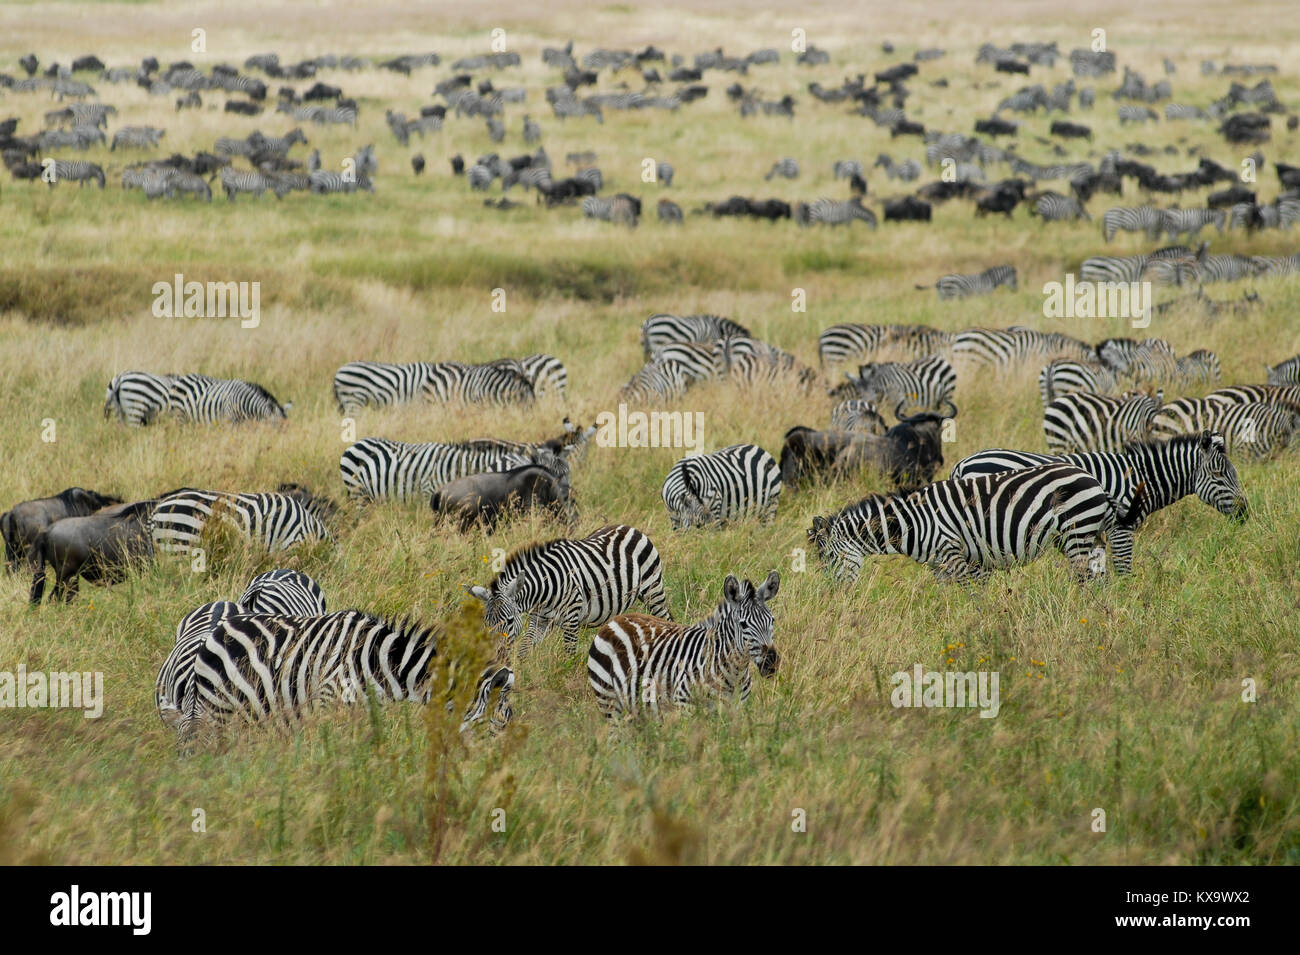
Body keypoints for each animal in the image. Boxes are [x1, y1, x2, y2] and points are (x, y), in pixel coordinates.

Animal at [175, 611, 514, 747]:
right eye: (500, 721)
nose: (502, 765)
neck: (380, 662)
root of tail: (215, 631)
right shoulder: (330, 701)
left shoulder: (363, 713)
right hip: (219, 708)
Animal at [465, 524, 671, 654]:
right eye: (487, 623)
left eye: (508, 621)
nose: (496, 655)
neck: (543, 591)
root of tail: (629, 528)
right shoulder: (539, 620)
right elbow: (525, 647)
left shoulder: (572, 619)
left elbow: (569, 654)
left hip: (653, 590)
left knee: (666, 617)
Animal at [587, 572, 780, 718]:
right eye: (743, 625)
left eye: (772, 620)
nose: (771, 663)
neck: (733, 673)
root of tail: (614, 620)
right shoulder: (685, 706)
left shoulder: (737, 709)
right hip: (608, 699)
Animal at [807, 463, 1121, 583]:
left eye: (829, 558)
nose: (833, 596)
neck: (913, 524)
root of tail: (1093, 479)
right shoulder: (941, 568)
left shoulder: (958, 560)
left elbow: (976, 600)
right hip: (1085, 537)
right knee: (1097, 578)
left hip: (1077, 533)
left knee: (1084, 579)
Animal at [950, 431, 1247, 573]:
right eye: (1219, 475)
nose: (1245, 513)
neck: (1141, 477)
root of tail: (962, 464)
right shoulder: (1120, 528)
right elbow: (1122, 567)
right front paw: (1126, 601)